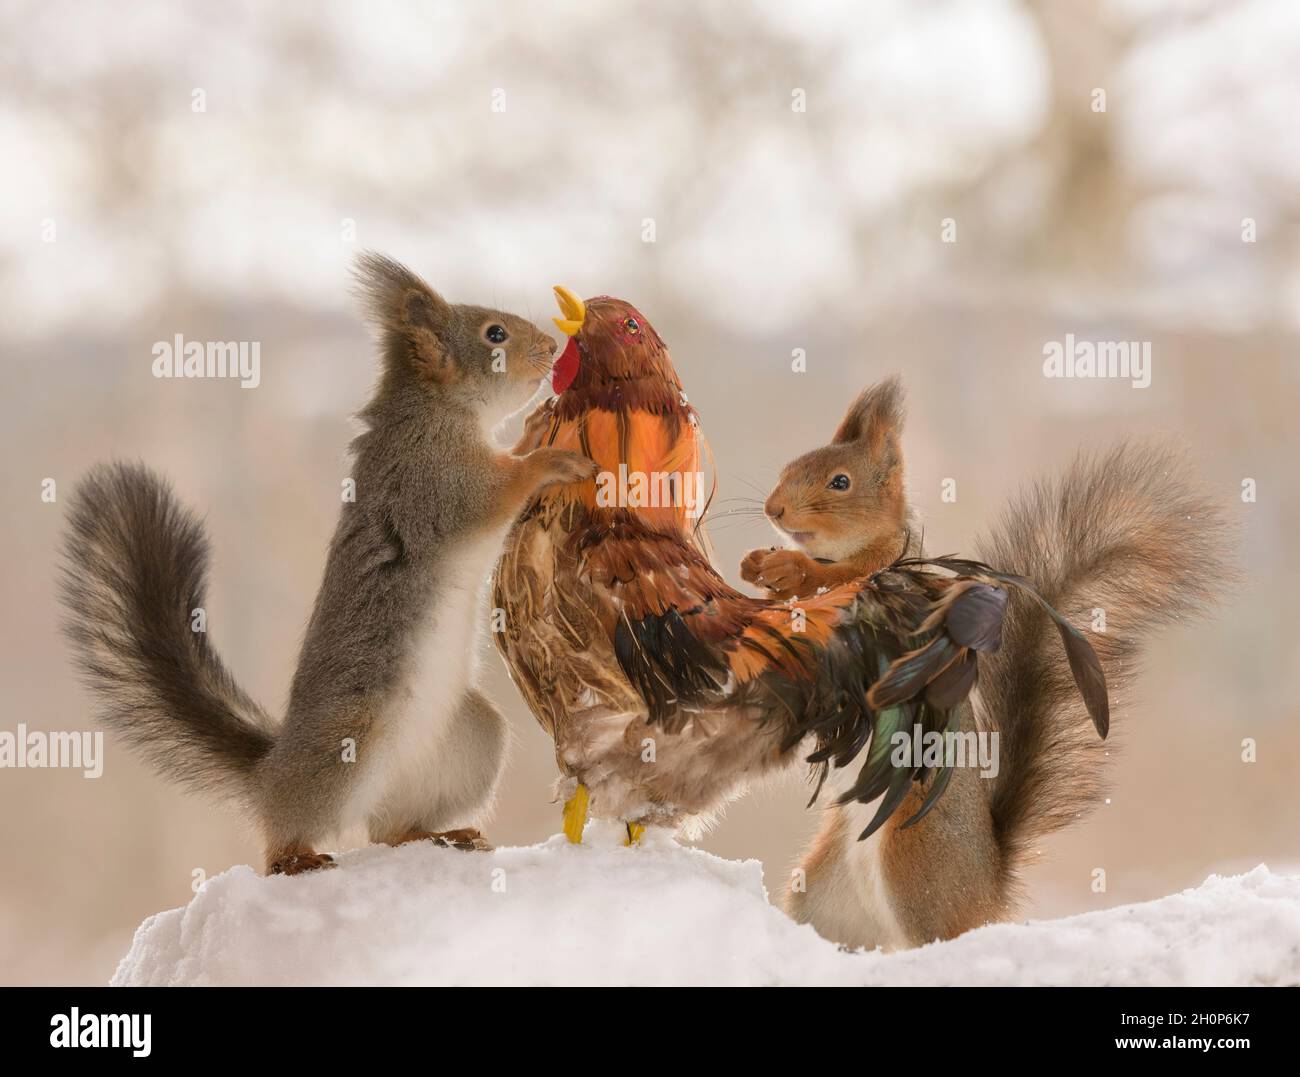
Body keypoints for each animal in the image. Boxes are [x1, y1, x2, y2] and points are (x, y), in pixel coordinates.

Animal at [59, 253, 597, 875]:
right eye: (495, 335)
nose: (552, 347)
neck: (435, 411)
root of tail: (269, 773)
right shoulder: (434, 483)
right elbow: (497, 491)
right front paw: (548, 458)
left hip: (470, 736)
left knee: (390, 830)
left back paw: (445, 833)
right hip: (347, 741)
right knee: (291, 828)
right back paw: (294, 856)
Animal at [742, 376, 1231, 948]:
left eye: (840, 482)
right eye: (790, 466)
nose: (774, 510)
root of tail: (988, 888)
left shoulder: (879, 580)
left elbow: (831, 584)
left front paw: (787, 568)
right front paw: (758, 566)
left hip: (914, 863)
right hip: (821, 890)